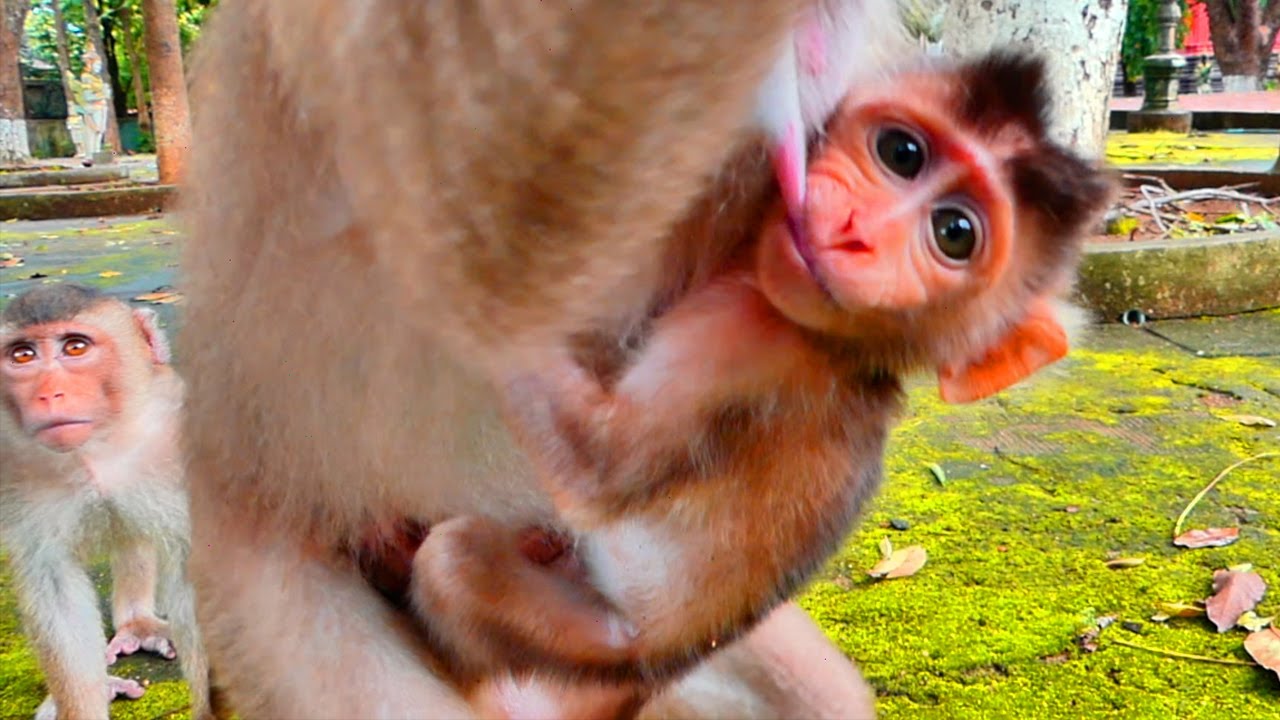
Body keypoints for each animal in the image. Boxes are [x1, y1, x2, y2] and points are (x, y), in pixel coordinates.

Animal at [0, 284, 214, 720]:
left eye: (75, 347)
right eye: (23, 355)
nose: (48, 394)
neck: (97, 450)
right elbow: (55, 586)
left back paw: (138, 623)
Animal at [406, 51, 1115, 687]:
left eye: (956, 233)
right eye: (902, 153)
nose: (856, 228)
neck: (839, 347)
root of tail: (665, 665)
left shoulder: (747, 342)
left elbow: (596, 467)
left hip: (594, 641)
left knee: (455, 561)